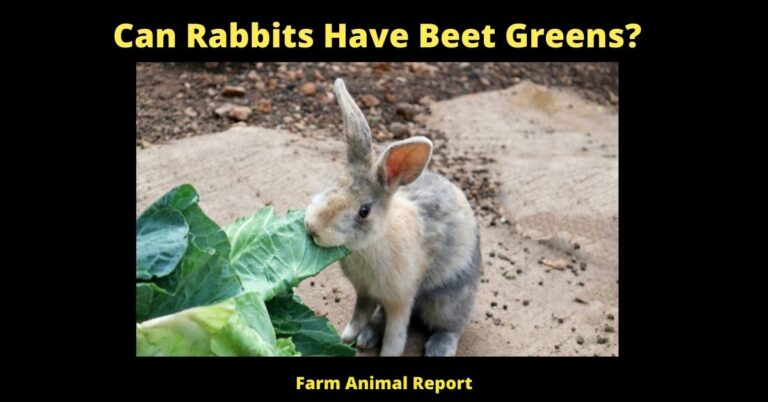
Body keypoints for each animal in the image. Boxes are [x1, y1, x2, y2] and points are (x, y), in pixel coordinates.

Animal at [304, 78, 481, 356]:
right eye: (331, 183)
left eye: (364, 211)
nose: (312, 228)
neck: (371, 245)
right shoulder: (365, 291)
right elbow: (359, 314)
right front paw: (346, 337)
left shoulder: (401, 299)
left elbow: (396, 334)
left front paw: (387, 352)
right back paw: (366, 337)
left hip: (449, 301)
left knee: (452, 326)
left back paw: (439, 348)